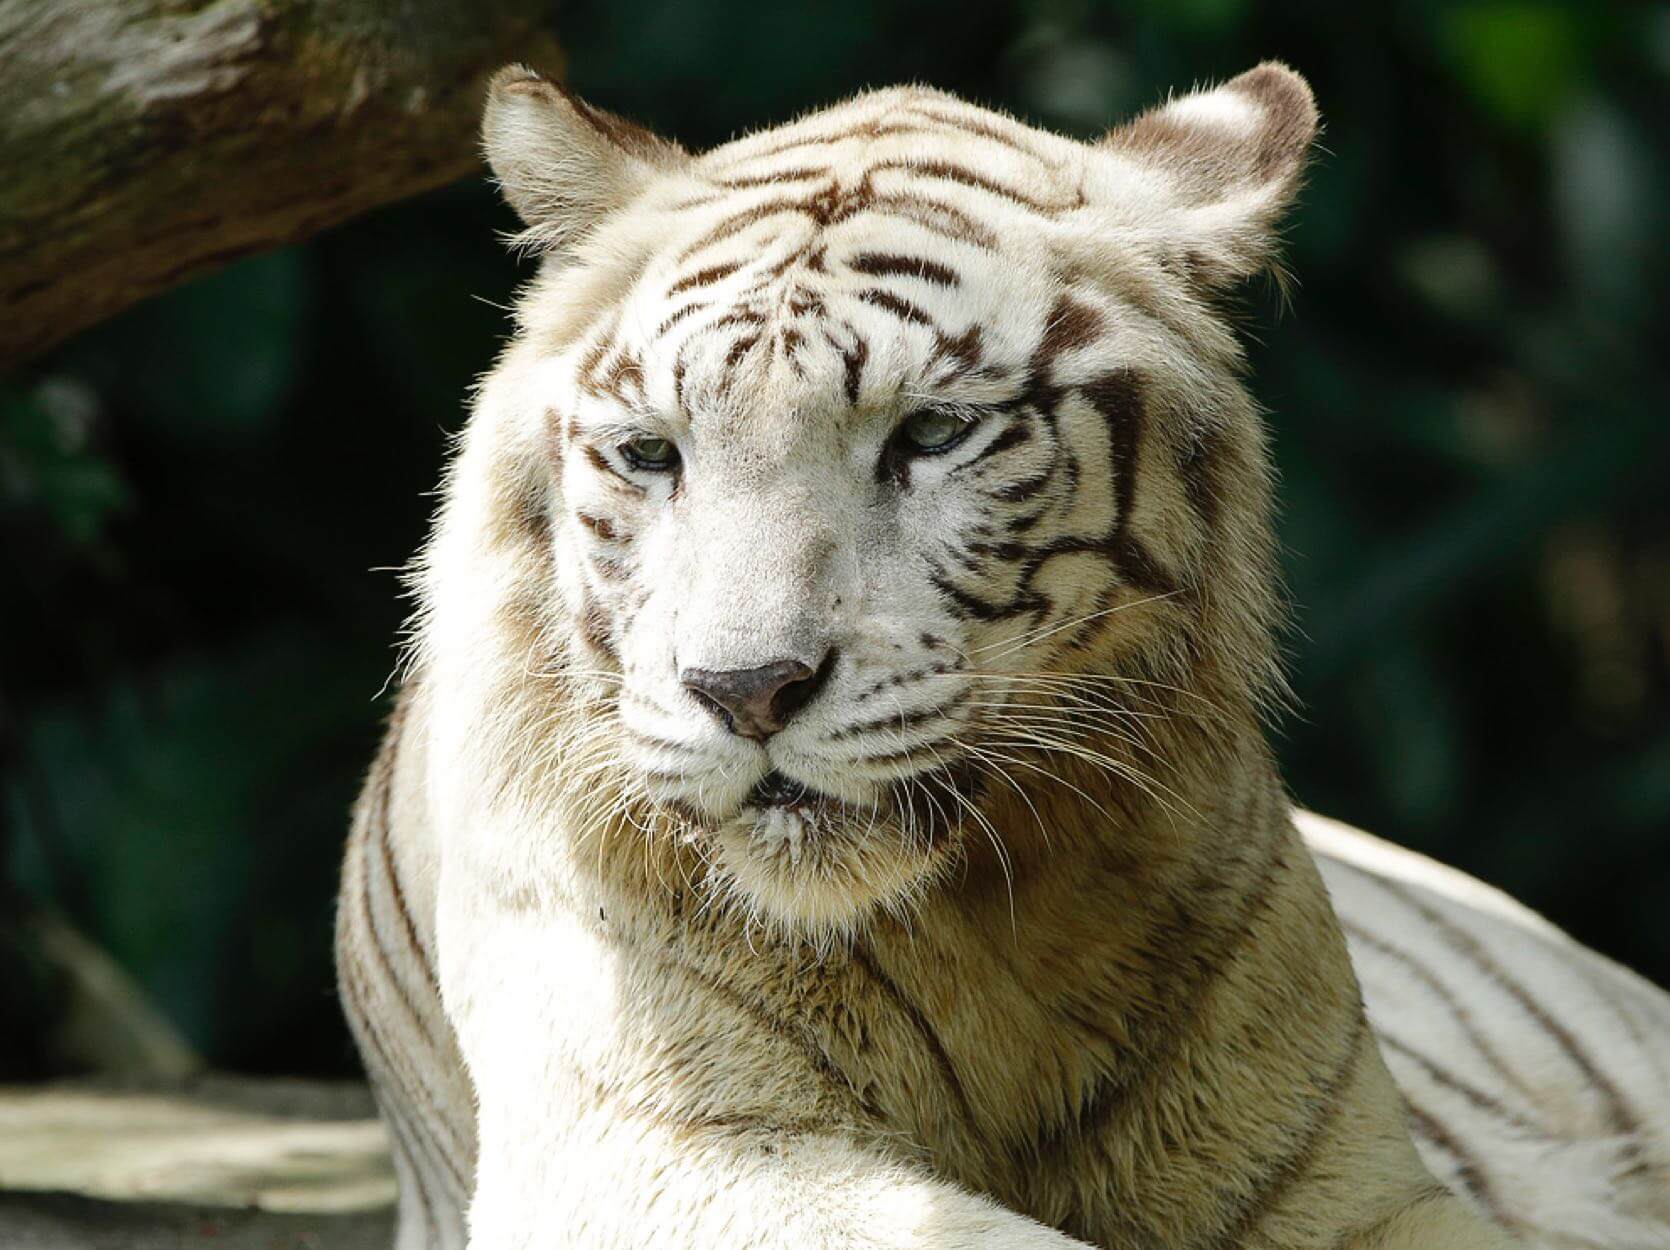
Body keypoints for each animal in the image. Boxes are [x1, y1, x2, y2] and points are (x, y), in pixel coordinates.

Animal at [335, 61, 1670, 1250]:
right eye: (651, 452)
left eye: (932, 433)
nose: (743, 690)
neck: (978, 923)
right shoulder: (661, 1151)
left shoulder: (1346, 1185)